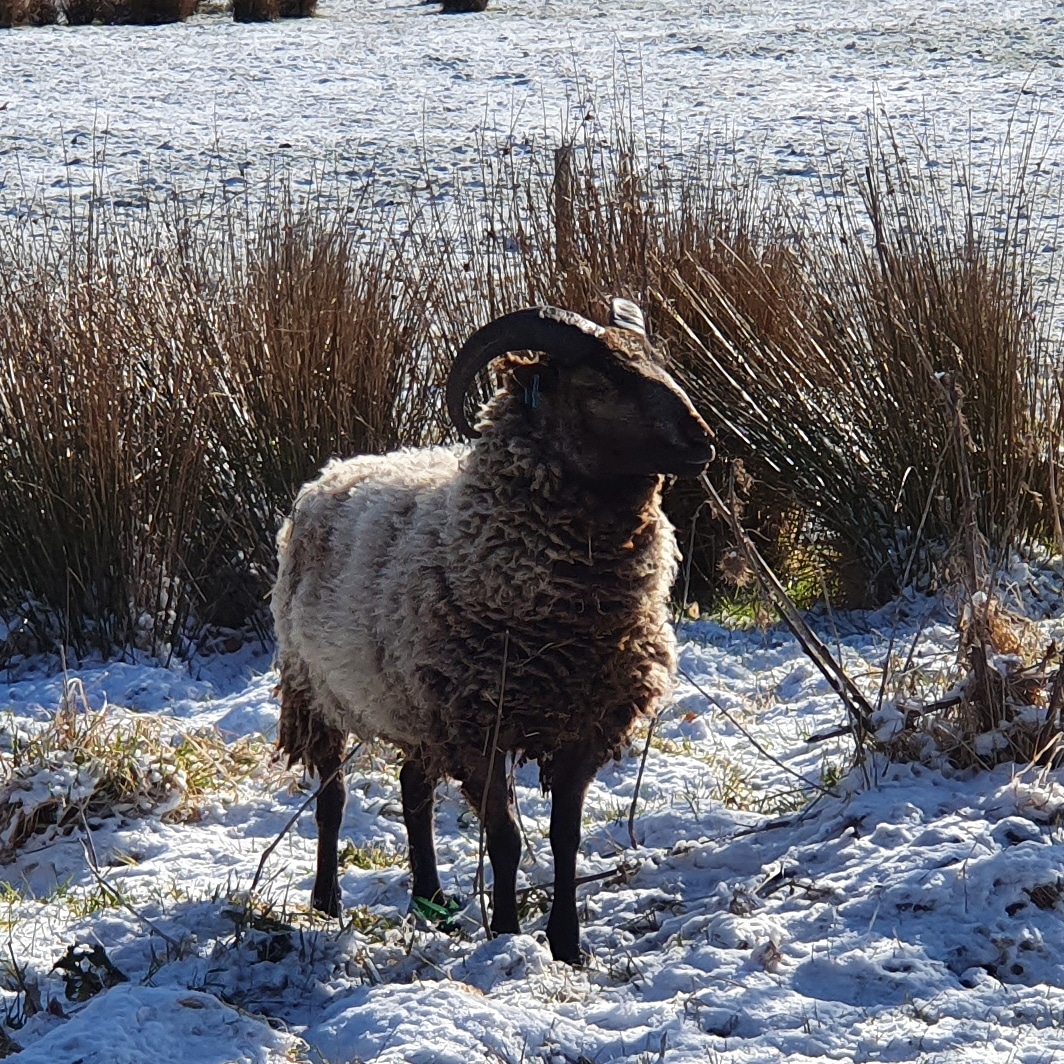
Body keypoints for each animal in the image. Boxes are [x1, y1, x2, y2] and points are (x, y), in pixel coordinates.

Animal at [271, 299, 713, 964]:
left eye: (657, 362)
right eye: (601, 380)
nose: (702, 440)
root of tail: (335, 468)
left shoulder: (580, 725)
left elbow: (564, 838)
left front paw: (567, 945)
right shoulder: (479, 726)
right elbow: (504, 837)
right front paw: (506, 932)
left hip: (415, 705)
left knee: (413, 791)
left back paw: (430, 898)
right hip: (315, 689)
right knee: (333, 797)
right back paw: (327, 901)